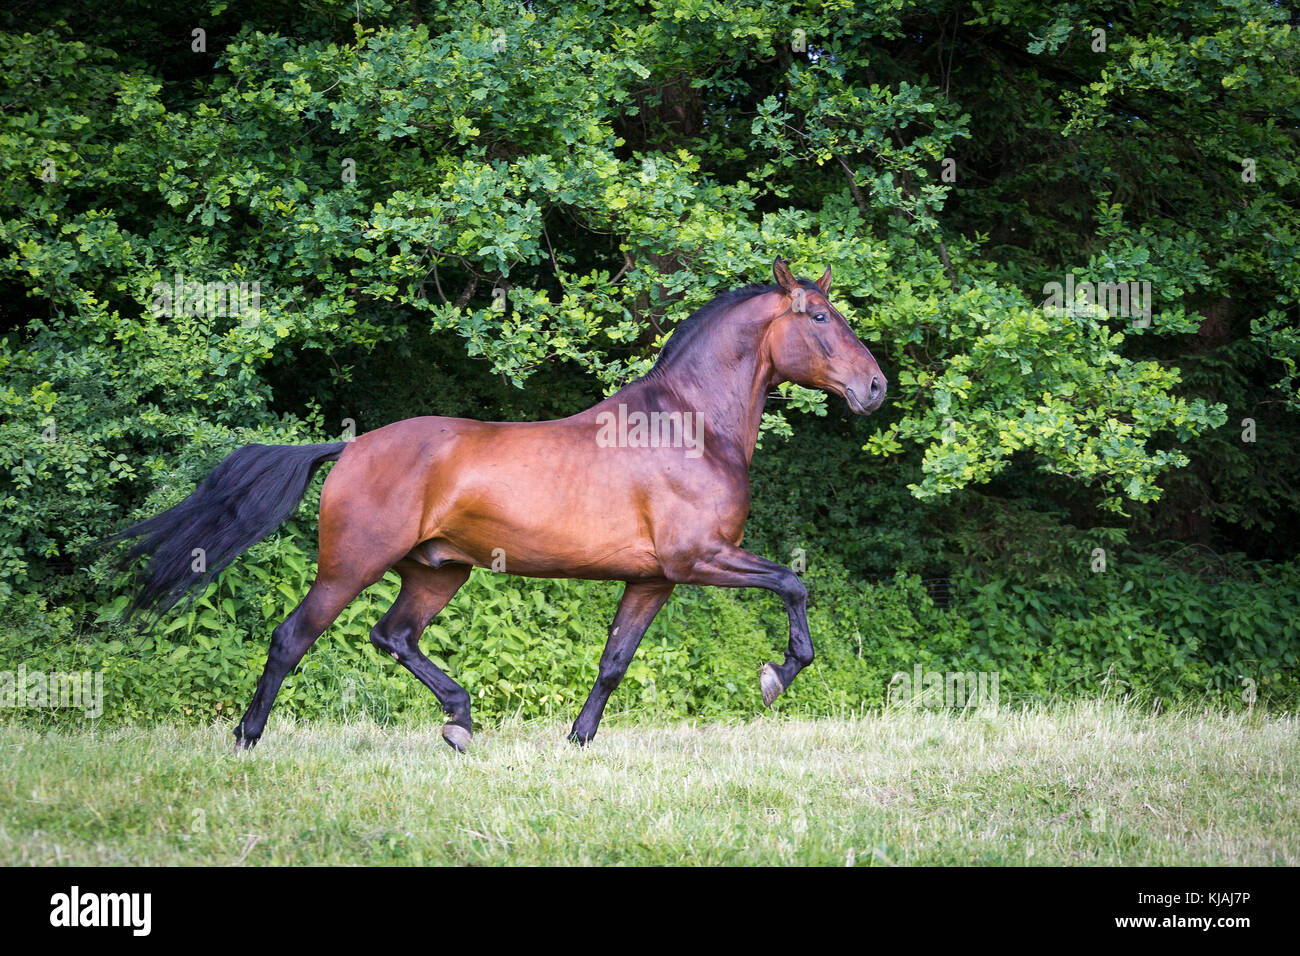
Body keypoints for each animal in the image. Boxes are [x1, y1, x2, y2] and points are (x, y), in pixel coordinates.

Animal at [112, 258, 887, 751]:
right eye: (820, 317)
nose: (875, 388)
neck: (690, 424)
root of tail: (351, 448)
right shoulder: (701, 558)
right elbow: (793, 584)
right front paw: (775, 676)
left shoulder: (654, 579)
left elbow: (614, 661)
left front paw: (577, 740)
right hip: (351, 565)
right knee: (292, 638)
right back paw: (248, 740)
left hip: (436, 571)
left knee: (393, 636)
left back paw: (459, 721)